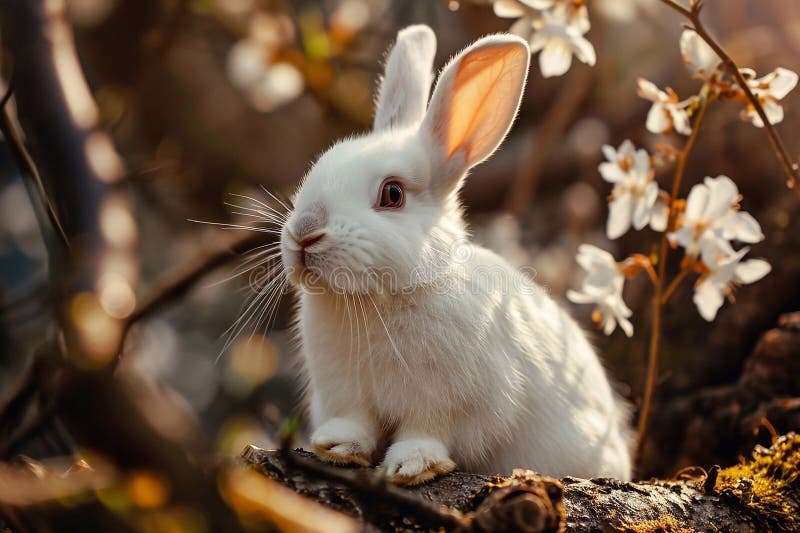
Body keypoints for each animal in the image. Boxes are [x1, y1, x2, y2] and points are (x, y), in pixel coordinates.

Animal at [279, 24, 633, 485]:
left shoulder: (451, 403)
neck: (379, 300)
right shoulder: (345, 392)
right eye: (318, 167)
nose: (304, 233)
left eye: (392, 194)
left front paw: (412, 466)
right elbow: (356, 424)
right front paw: (336, 447)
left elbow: (426, 432)